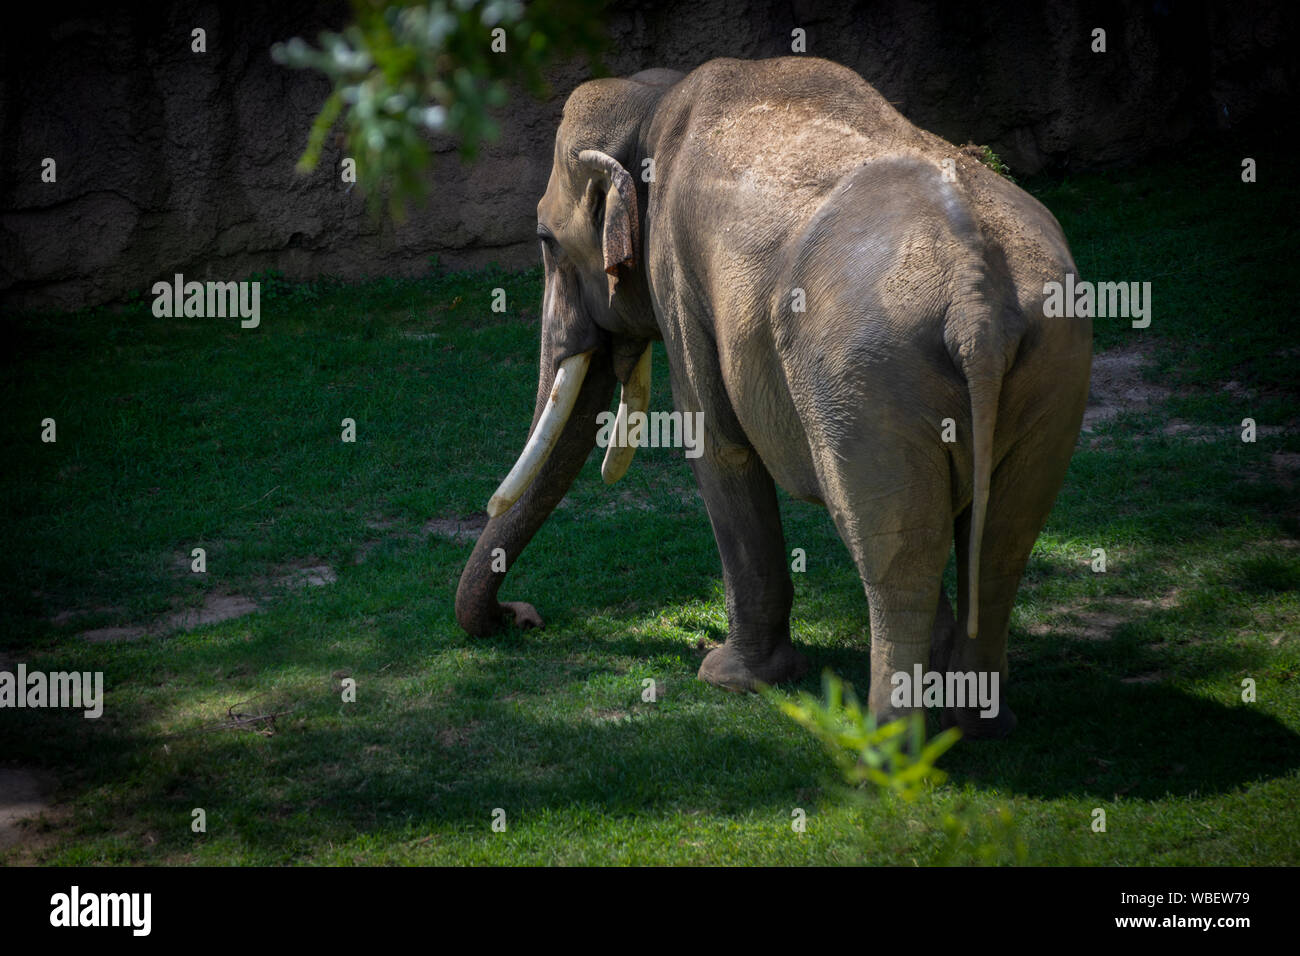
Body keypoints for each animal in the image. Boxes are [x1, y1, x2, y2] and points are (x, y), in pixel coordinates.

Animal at [454, 57, 1091, 739]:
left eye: (546, 241)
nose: (524, 616)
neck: (654, 100)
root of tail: (978, 307)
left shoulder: (680, 277)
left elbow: (718, 447)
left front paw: (728, 678)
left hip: (868, 376)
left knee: (897, 547)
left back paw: (885, 739)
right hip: (1055, 360)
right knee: (1002, 540)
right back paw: (974, 722)